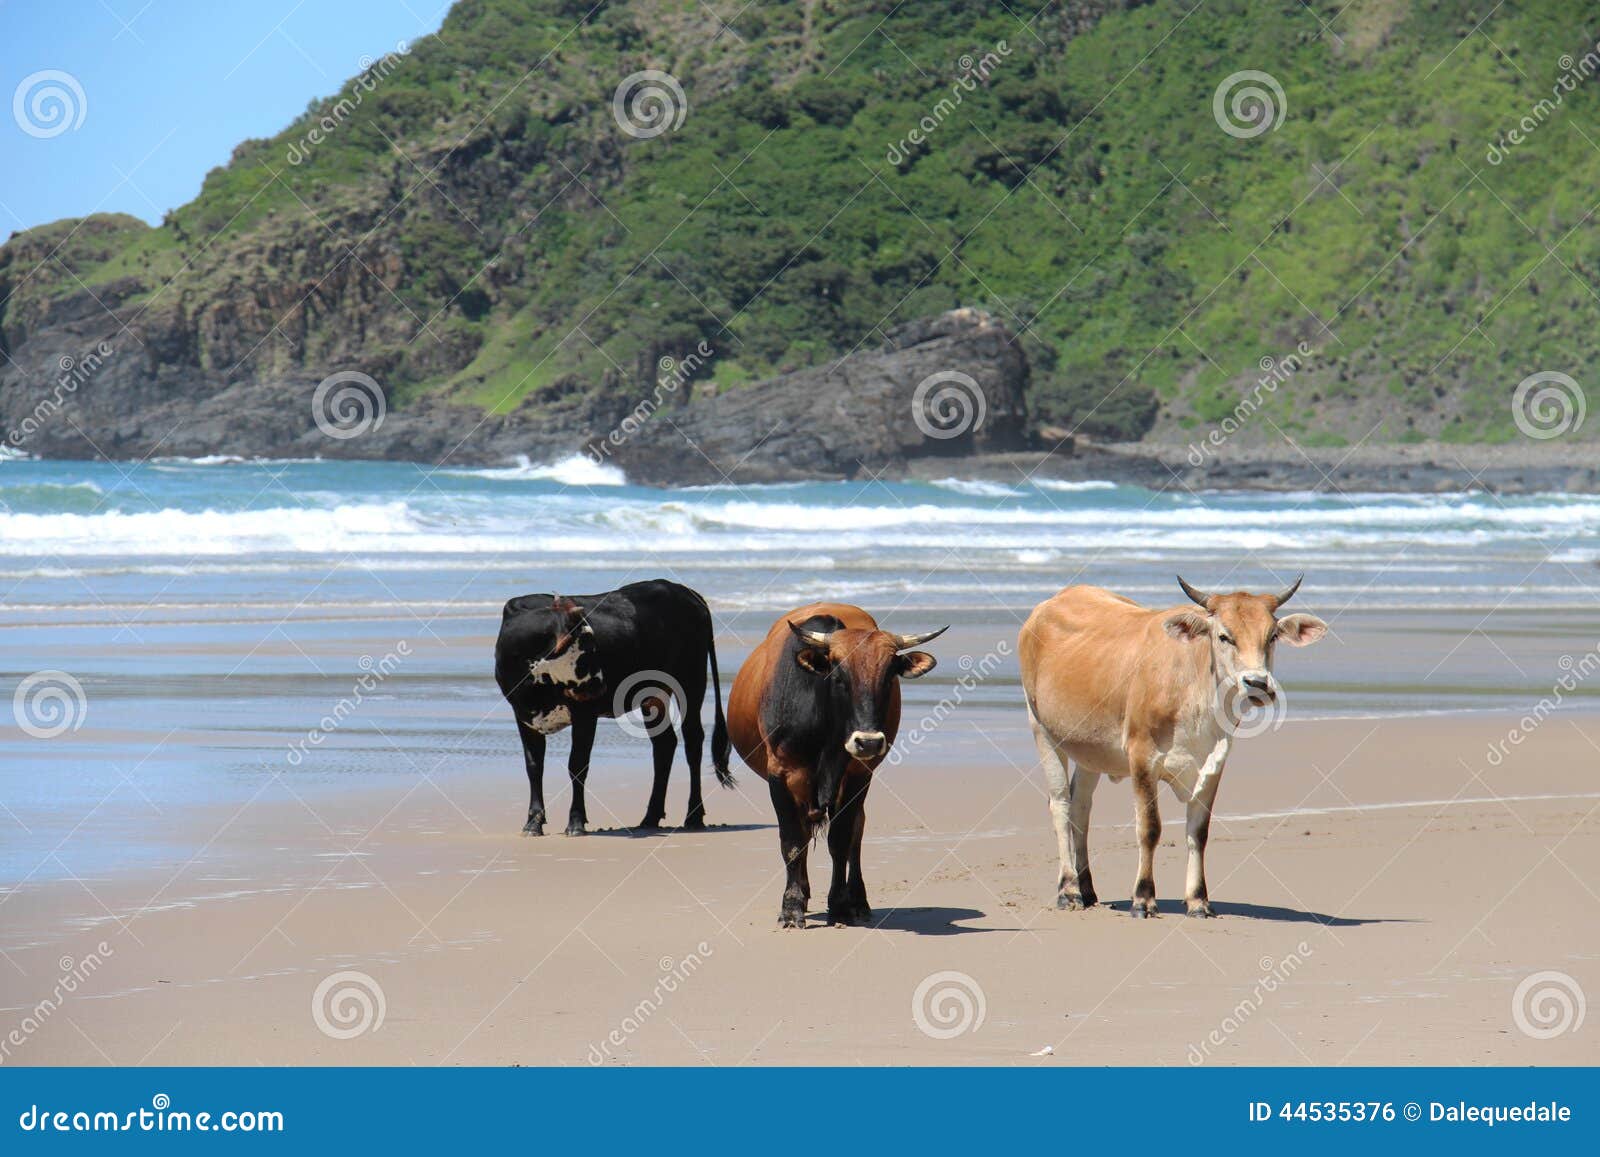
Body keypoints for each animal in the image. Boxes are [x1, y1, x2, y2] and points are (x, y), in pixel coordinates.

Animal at [494, 579, 732, 835]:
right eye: (587, 647)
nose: (601, 685)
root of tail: (683, 590)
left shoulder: (585, 713)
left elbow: (577, 765)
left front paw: (576, 821)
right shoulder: (522, 714)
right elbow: (534, 766)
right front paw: (533, 822)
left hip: (691, 680)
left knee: (693, 741)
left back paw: (693, 815)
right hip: (653, 694)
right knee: (664, 744)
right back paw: (650, 816)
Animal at [727, 603, 945, 928]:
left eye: (888, 676)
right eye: (839, 676)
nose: (868, 742)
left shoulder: (857, 775)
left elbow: (841, 840)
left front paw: (840, 905)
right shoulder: (780, 774)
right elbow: (792, 842)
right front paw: (792, 906)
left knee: (856, 831)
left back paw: (858, 900)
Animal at [1019, 576, 1326, 918]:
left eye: (1271, 636)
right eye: (1224, 636)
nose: (1257, 683)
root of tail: (1051, 603)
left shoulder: (1214, 761)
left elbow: (1198, 832)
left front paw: (1198, 900)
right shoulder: (1141, 757)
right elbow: (1149, 828)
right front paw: (1143, 898)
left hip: (1090, 751)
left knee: (1080, 807)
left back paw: (1087, 889)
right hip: (1042, 729)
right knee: (1060, 805)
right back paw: (1068, 890)